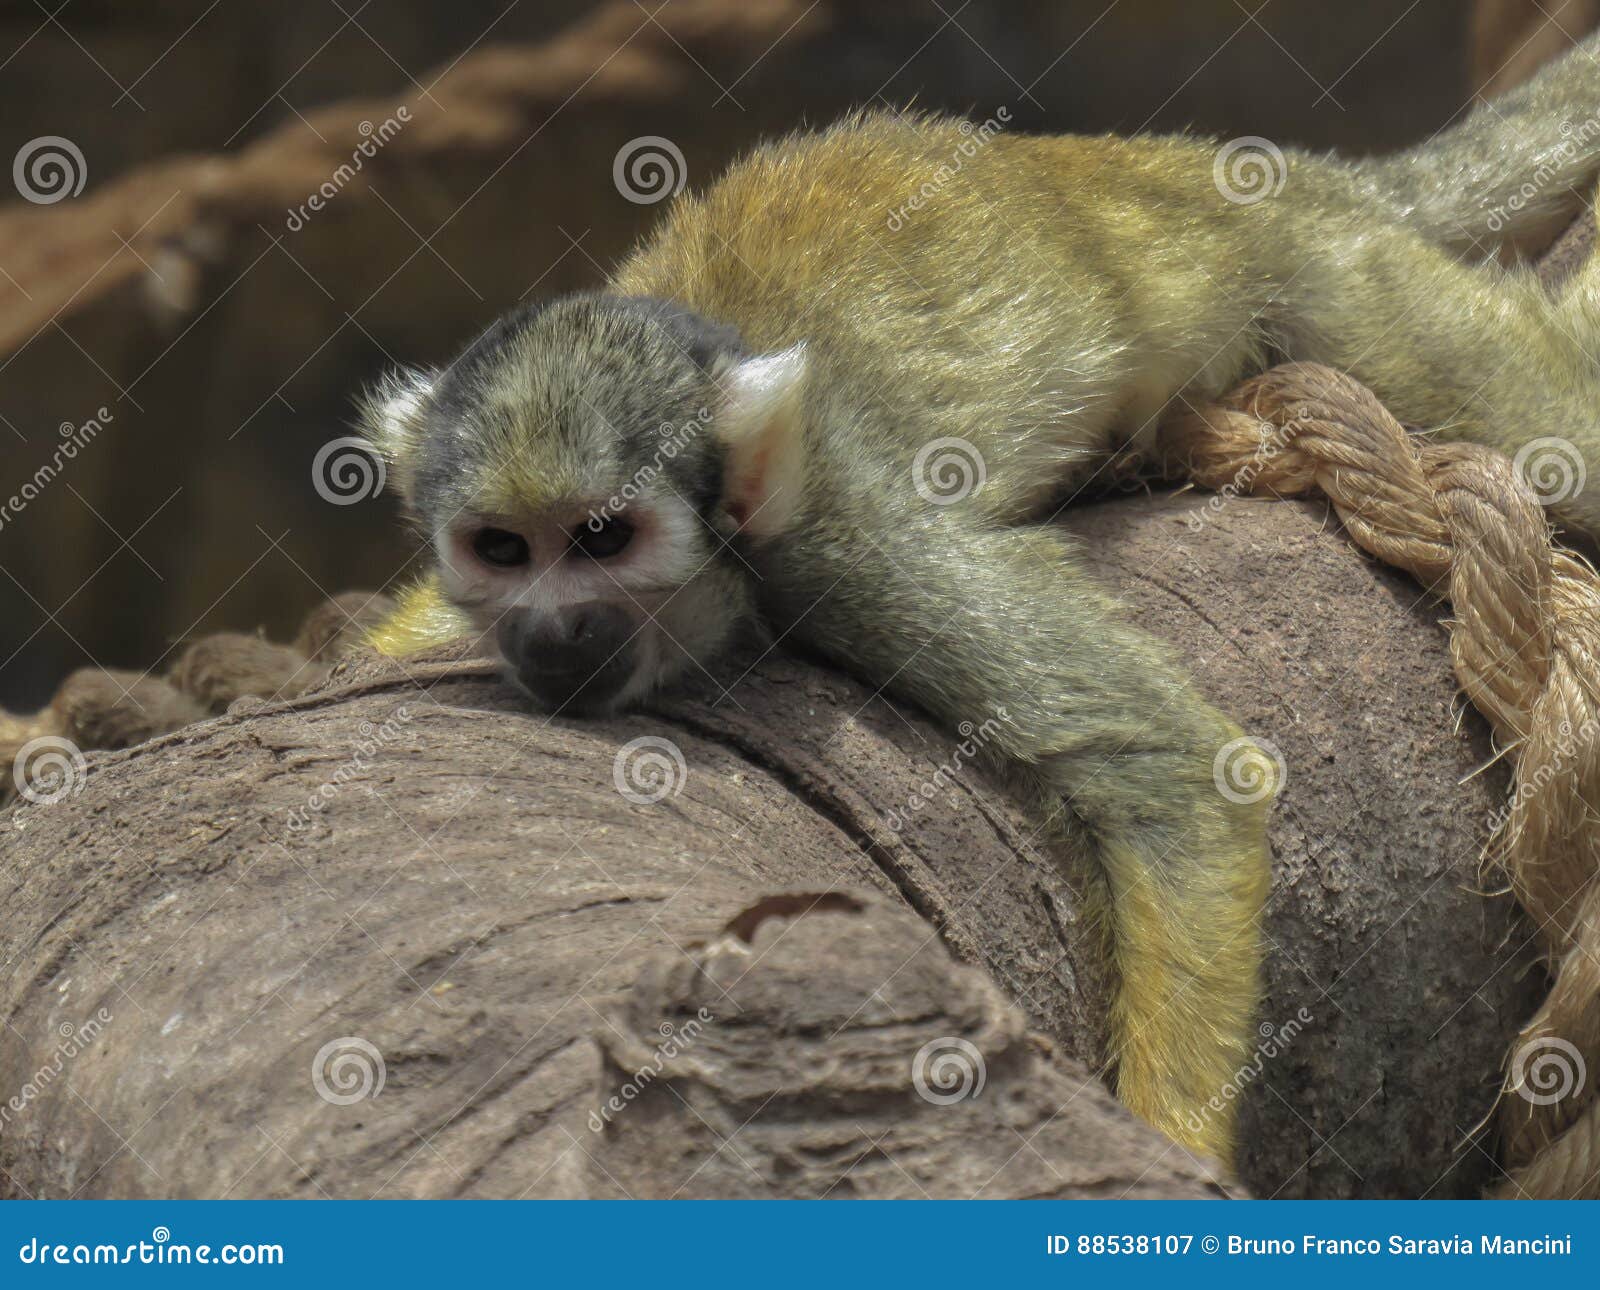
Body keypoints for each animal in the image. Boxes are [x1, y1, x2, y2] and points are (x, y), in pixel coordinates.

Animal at [358, 35, 1600, 1164]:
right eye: (502, 549)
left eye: (602, 539)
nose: (553, 629)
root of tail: (1212, 167)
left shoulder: (849, 543)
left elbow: (1174, 770)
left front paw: (1175, 1151)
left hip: (1324, 266)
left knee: (1550, 428)